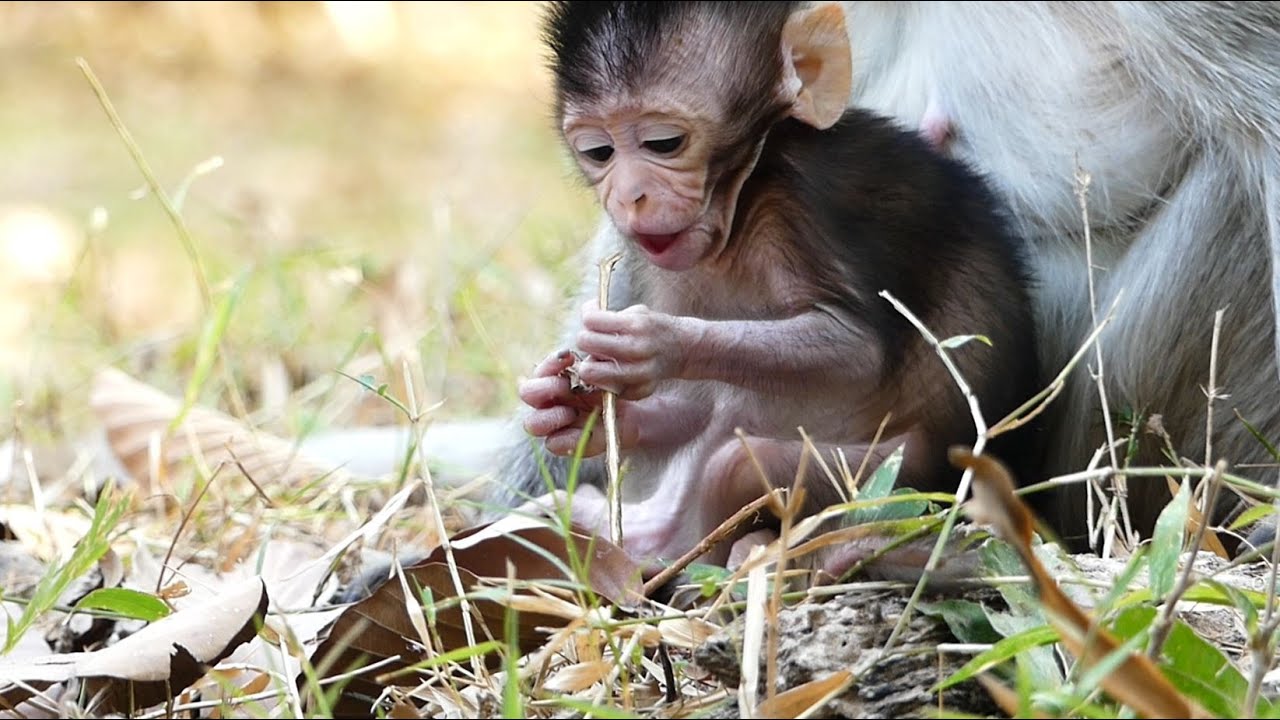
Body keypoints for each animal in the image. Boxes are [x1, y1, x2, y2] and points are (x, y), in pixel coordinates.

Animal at [483, 0, 1042, 581]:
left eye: (663, 143)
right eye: (599, 152)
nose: (629, 196)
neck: (741, 200)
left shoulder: (796, 208)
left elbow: (857, 352)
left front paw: (657, 343)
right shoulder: (667, 262)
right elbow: (694, 401)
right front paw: (570, 412)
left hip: (902, 479)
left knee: (736, 464)